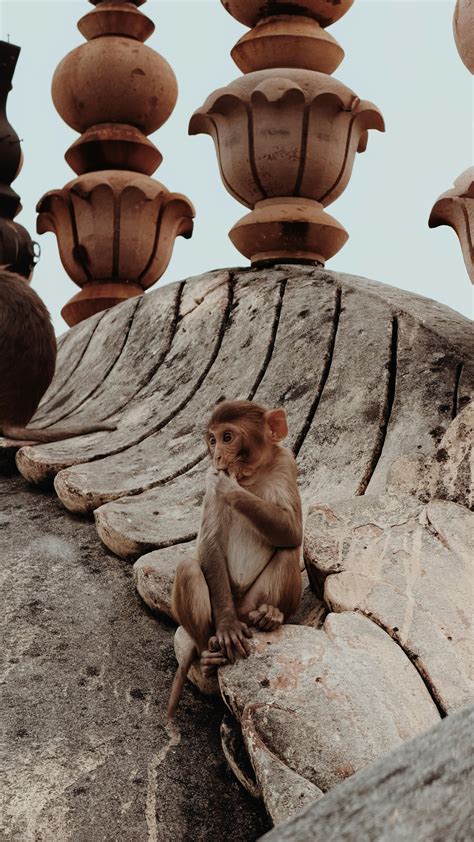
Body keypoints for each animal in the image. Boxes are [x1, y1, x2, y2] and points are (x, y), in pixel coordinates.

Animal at [168, 399, 303, 717]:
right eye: (212, 440)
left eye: (227, 438)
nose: (217, 455)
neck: (251, 476)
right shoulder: (209, 485)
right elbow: (209, 545)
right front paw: (228, 627)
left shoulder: (286, 463)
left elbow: (292, 531)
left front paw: (230, 488)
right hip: (220, 613)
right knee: (188, 567)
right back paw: (209, 655)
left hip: (250, 604)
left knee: (290, 550)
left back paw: (271, 615)